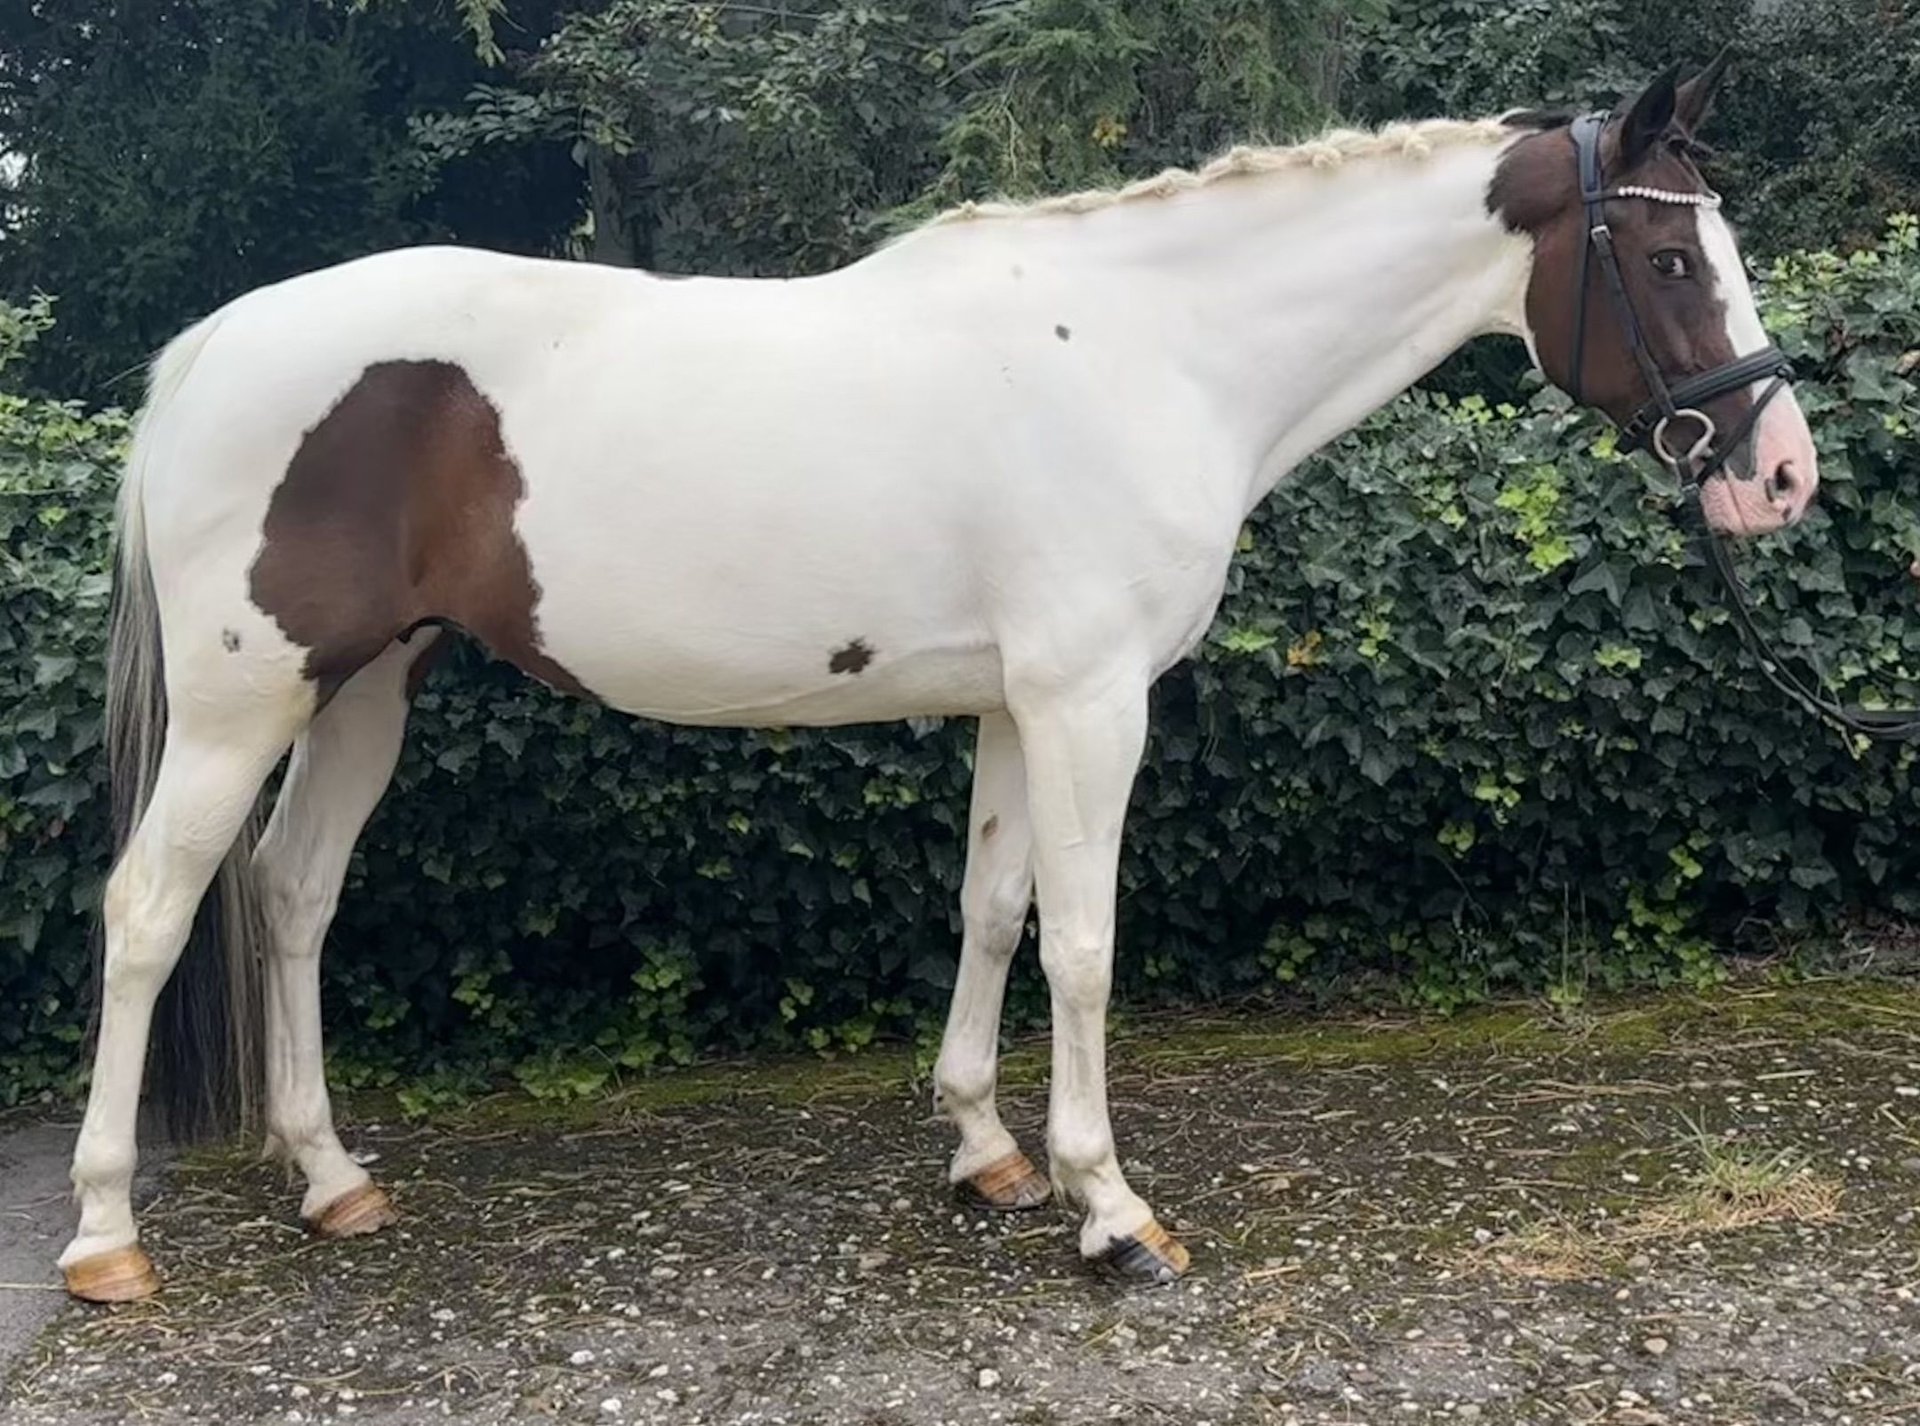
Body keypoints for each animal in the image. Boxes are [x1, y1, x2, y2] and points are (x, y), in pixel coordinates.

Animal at [60, 54, 1816, 1301]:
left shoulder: (1014, 704)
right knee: (148, 908)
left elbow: (993, 910)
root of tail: (210, 347)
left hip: (365, 686)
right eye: (1672, 258)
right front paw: (1114, 1212)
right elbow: (1088, 947)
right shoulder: (1094, 701)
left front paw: (987, 1153)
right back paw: (102, 1238)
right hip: (245, 700)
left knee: (292, 894)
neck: (1149, 350)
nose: (1780, 473)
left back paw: (329, 1176)